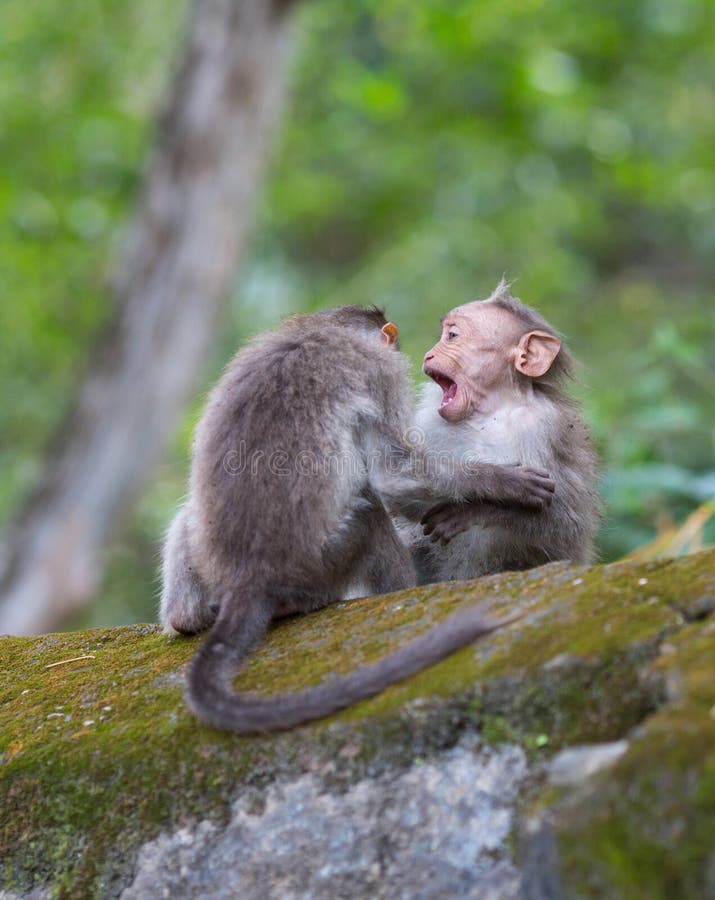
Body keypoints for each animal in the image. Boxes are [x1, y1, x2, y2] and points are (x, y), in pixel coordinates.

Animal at [160, 305, 555, 733]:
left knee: (188, 522)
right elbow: (395, 474)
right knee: (369, 511)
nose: (425, 355)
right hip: (320, 569)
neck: (323, 332)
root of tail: (250, 579)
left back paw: (186, 617)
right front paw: (507, 483)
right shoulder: (381, 371)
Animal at [386, 281, 600, 586]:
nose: (429, 354)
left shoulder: (542, 426)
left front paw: (476, 511)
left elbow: (568, 525)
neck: (489, 411)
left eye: (452, 336)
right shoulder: (428, 418)